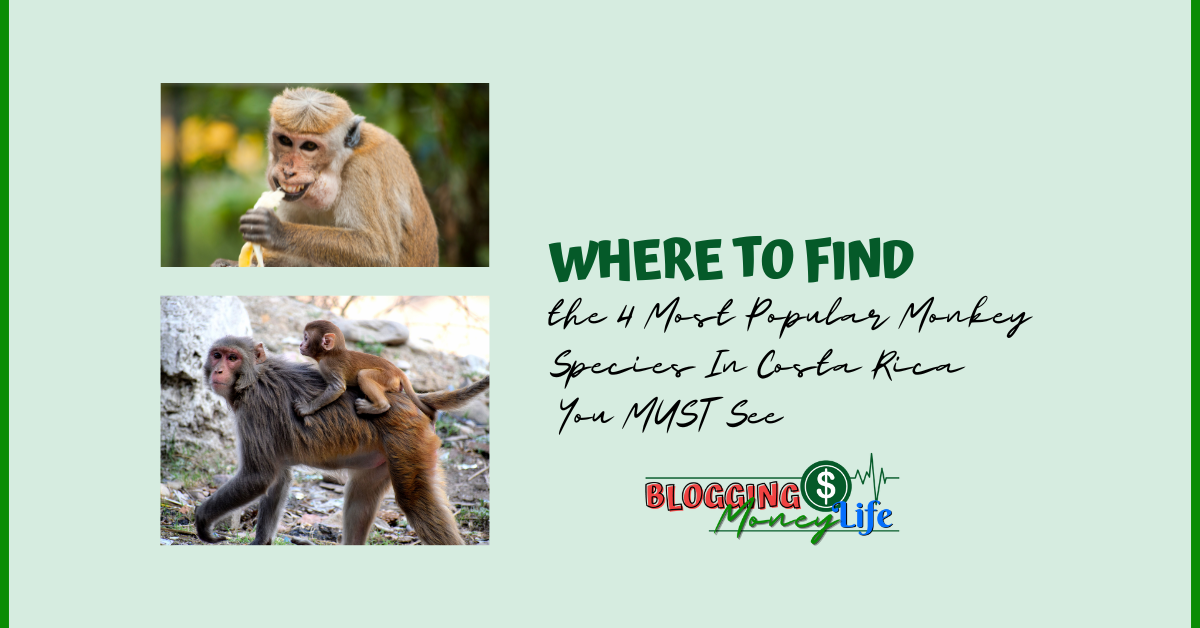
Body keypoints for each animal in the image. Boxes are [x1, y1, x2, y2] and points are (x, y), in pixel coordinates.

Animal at [197, 336, 489, 545]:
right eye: (217, 355)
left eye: (233, 357)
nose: (218, 370)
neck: (252, 379)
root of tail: (407, 398)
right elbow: (278, 478)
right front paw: (261, 542)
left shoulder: (255, 410)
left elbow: (259, 476)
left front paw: (202, 520)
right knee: (360, 498)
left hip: (409, 441)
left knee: (413, 500)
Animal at [211, 87, 438, 267]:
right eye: (285, 140)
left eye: (309, 146)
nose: (288, 171)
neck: (342, 163)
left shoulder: (364, 172)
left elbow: (380, 255)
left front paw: (276, 231)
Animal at [295, 319, 436, 421]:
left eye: (306, 338)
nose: (300, 344)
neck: (330, 353)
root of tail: (397, 371)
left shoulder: (328, 365)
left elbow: (337, 388)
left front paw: (307, 408)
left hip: (387, 377)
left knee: (363, 375)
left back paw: (379, 406)